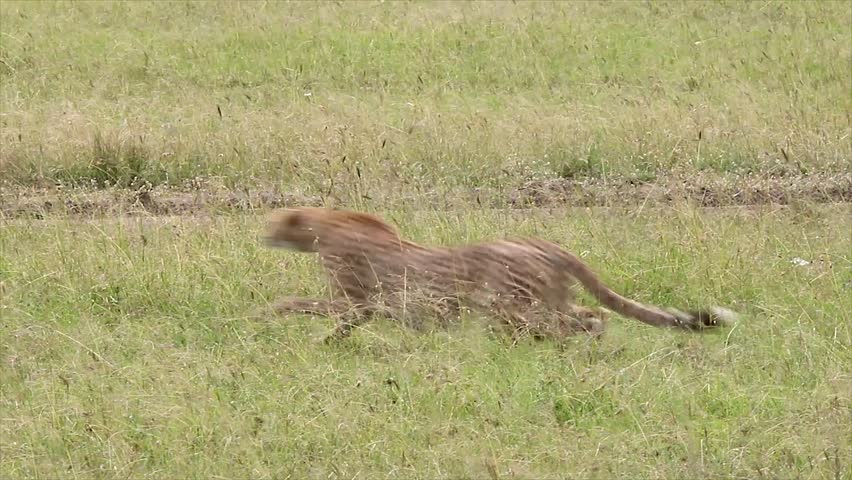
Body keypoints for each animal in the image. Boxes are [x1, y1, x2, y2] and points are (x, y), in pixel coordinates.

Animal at [263, 207, 738, 343]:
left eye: (274, 222)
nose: (261, 234)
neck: (326, 225)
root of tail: (546, 244)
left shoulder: (357, 298)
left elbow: (309, 305)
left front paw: (274, 313)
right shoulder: (365, 305)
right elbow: (340, 322)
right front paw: (329, 344)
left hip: (511, 305)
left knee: (576, 322)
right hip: (540, 302)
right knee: (591, 316)